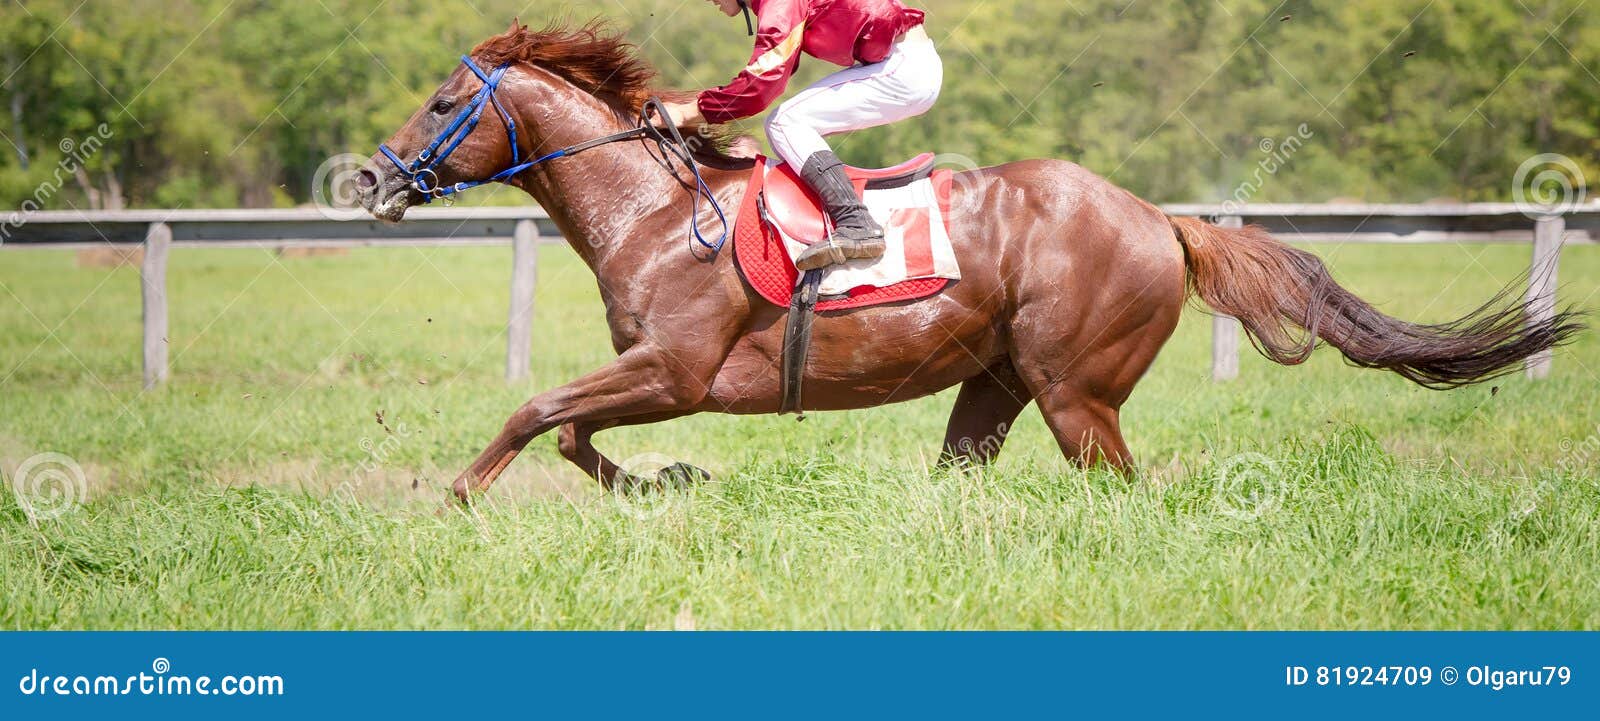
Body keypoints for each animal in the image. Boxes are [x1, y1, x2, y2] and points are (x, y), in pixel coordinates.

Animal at [357, 21, 1582, 503]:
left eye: (442, 101)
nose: (368, 179)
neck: (659, 212)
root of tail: (1160, 218)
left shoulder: (678, 369)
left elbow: (536, 411)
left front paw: (456, 500)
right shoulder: (656, 374)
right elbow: (569, 432)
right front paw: (668, 485)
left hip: (1076, 390)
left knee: (1120, 488)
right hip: (996, 382)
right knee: (969, 469)